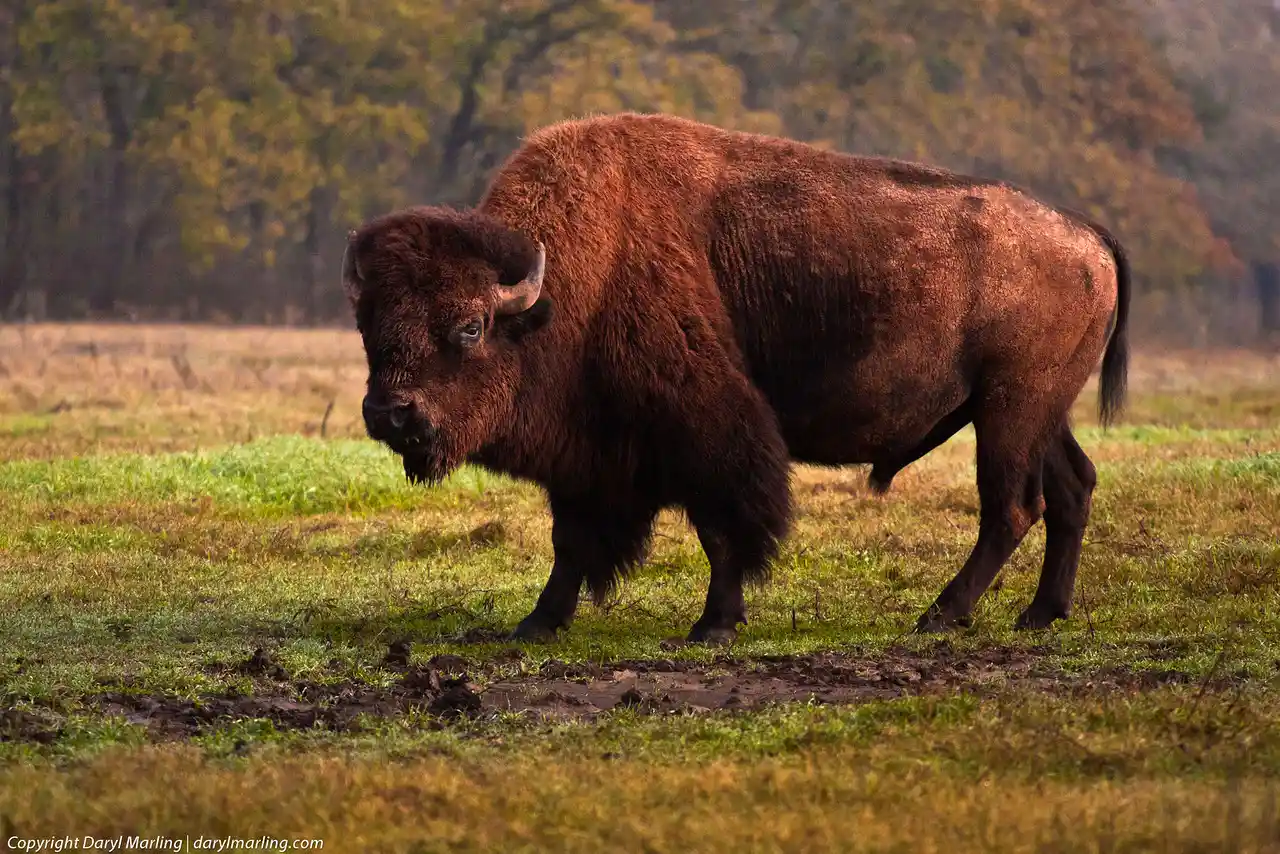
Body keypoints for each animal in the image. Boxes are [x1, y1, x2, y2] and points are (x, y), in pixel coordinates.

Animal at [342, 112, 1129, 644]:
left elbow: (724, 528)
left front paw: (713, 624)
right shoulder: (587, 458)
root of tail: (1084, 233)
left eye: (469, 327)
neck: (569, 284)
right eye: (369, 325)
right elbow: (572, 540)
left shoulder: (709, 433)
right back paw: (1039, 614)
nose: (390, 413)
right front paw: (538, 622)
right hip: (1038, 413)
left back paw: (941, 614)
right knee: (1071, 488)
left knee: (1012, 507)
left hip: (1010, 410)